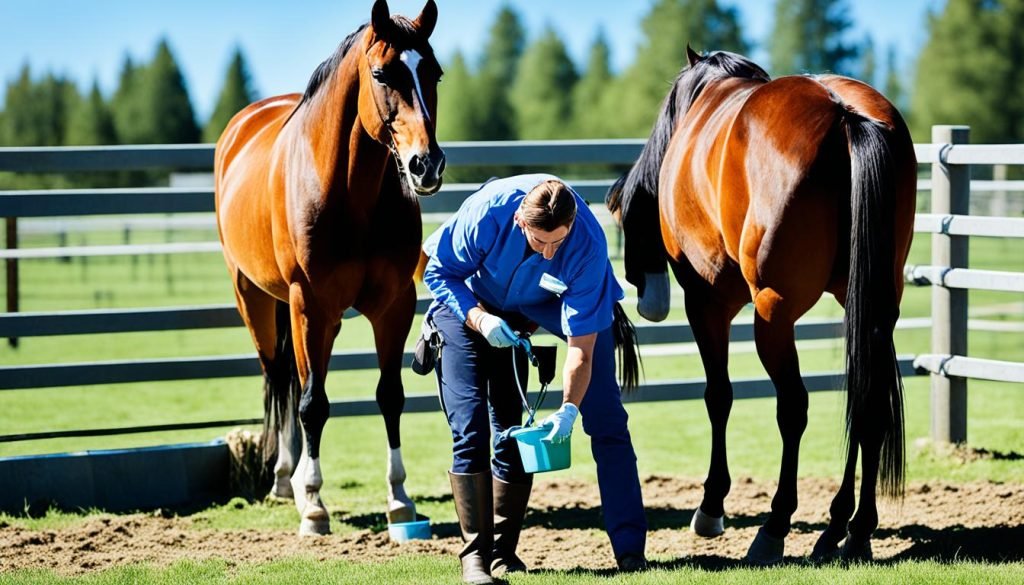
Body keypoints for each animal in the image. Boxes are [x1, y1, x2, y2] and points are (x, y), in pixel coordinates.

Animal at [213, 0, 445, 535]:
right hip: (259, 302)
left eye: (435, 73)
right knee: (281, 381)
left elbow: (390, 395)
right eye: (382, 73)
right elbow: (311, 404)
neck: (348, 190)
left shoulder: (392, 306)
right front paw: (315, 506)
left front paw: (399, 497)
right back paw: (286, 481)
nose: (426, 165)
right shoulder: (309, 305)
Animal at [606, 47, 916, 563]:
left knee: (793, 407)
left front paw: (711, 507)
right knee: (867, 399)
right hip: (872, 308)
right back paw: (849, 529)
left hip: (773, 314)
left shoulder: (706, 302)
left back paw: (775, 526)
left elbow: (718, 395)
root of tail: (845, 115)